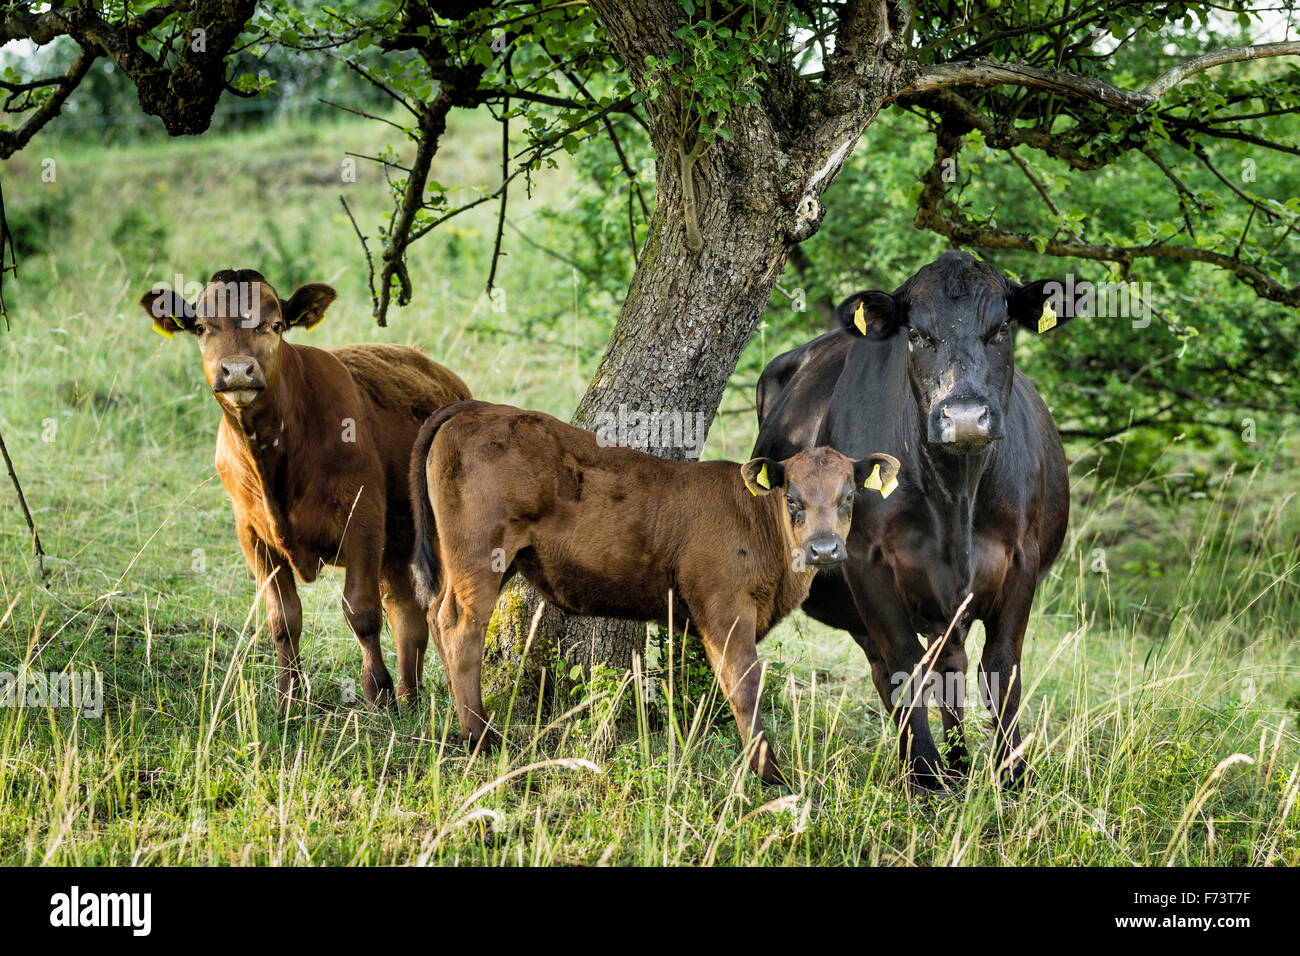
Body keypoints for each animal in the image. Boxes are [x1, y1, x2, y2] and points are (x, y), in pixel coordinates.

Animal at [140, 269, 472, 709]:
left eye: (276, 325)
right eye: (200, 328)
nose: (238, 370)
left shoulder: (363, 520)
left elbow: (361, 612)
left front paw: (378, 694)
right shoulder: (252, 535)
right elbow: (283, 619)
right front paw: (288, 698)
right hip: (396, 549)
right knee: (408, 614)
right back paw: (410, 697)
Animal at [408, 399, 900, 785]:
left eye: (849, 497)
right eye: (792, 499)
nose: (824, 548)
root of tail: (478, 409)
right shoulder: (725, 610)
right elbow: (744, 685)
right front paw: (770, 775)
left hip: (482, 561)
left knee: (436, 616)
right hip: (479, 555)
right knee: (461, 629)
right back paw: (481, 738)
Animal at [753, 250, 1074, 792]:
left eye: (1000, 328)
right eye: (918, 334)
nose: (964, 416)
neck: (956, 495)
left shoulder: (1020, 561)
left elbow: (1001, 667)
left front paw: (1011, 777)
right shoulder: (868, 566)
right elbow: (904, 666)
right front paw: (924, 775)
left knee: (951, 666)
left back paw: (961, 766)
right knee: (893, 670)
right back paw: (934, 766)